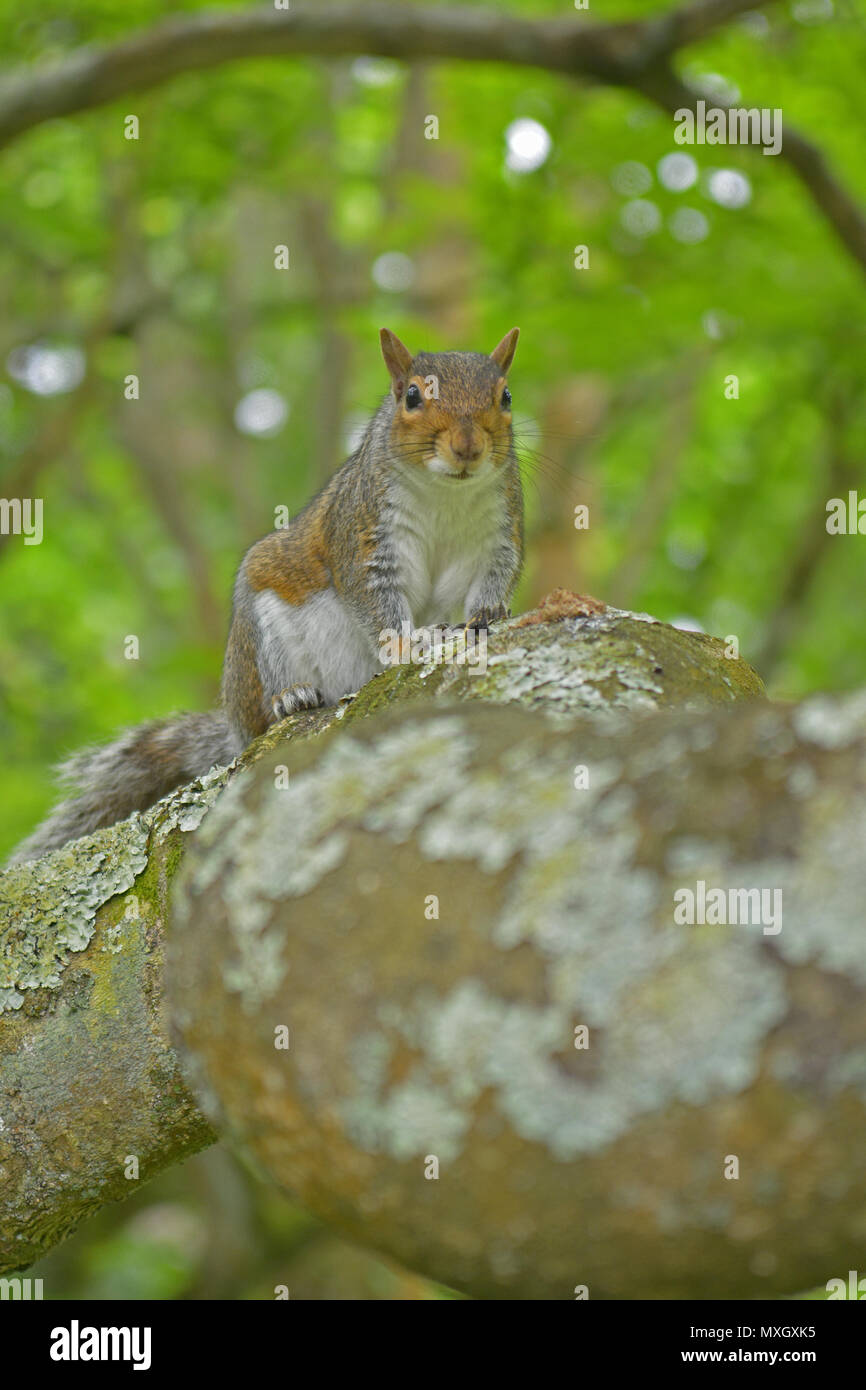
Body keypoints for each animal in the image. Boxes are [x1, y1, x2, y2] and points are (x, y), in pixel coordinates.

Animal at [10, 327, 523, 864]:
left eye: (506, 396)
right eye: (412, 397)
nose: (468, 448)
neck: (448, 492)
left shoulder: (499, 529)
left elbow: (495, 577)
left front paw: (488, 614)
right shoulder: (361, 531)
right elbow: (374, 600)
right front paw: (412, 640)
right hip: (263, 632)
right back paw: (289, 698)